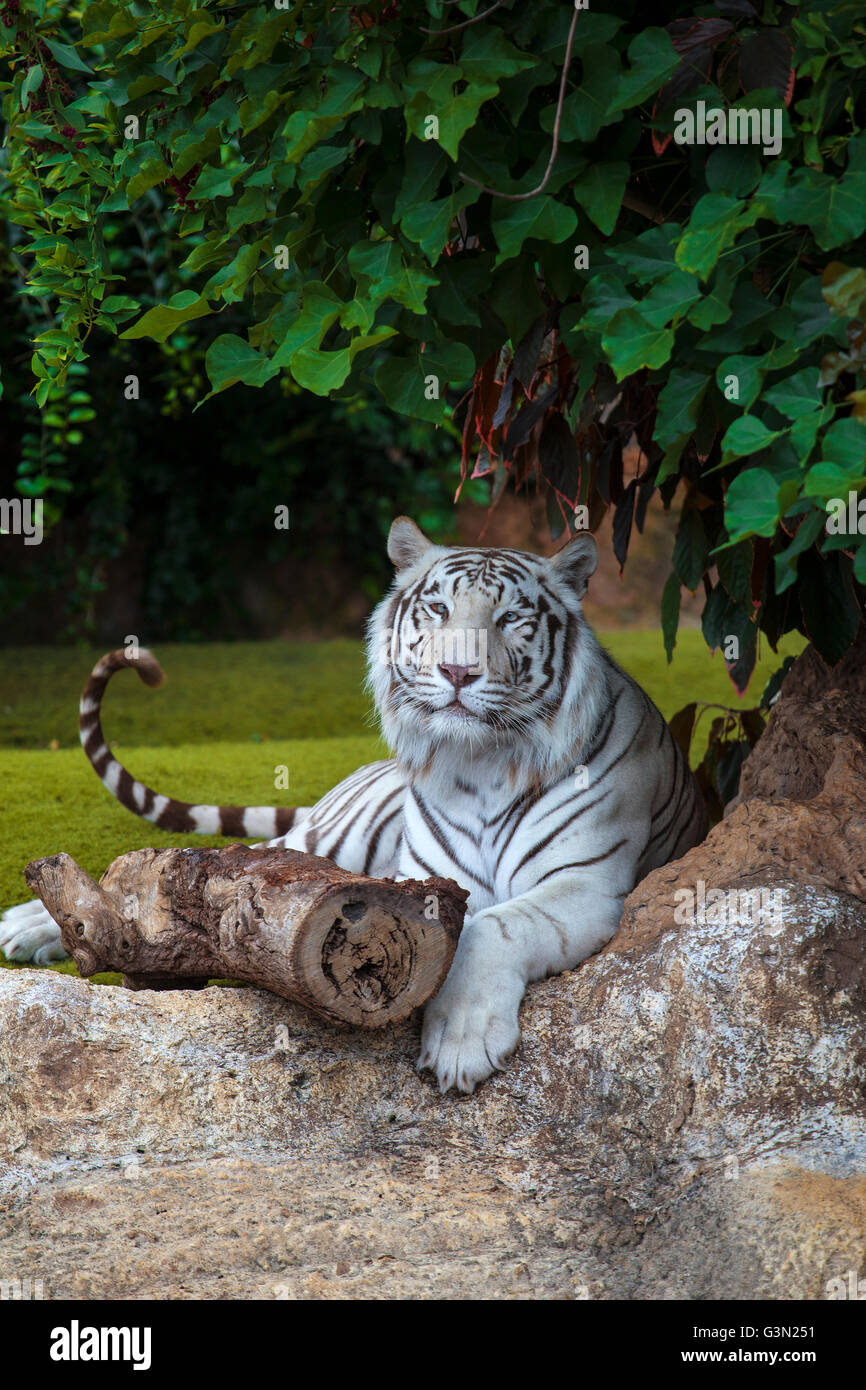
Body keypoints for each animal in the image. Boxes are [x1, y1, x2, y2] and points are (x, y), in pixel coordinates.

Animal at [0, 516, 708, 1093]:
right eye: (439, 609)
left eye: (510, 619)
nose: (457, 673)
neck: (482, 765)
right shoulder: (425, 878)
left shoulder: (587, 886)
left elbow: (495, 926)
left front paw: (460, 1045)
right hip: (318, 845)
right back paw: (29, 925)